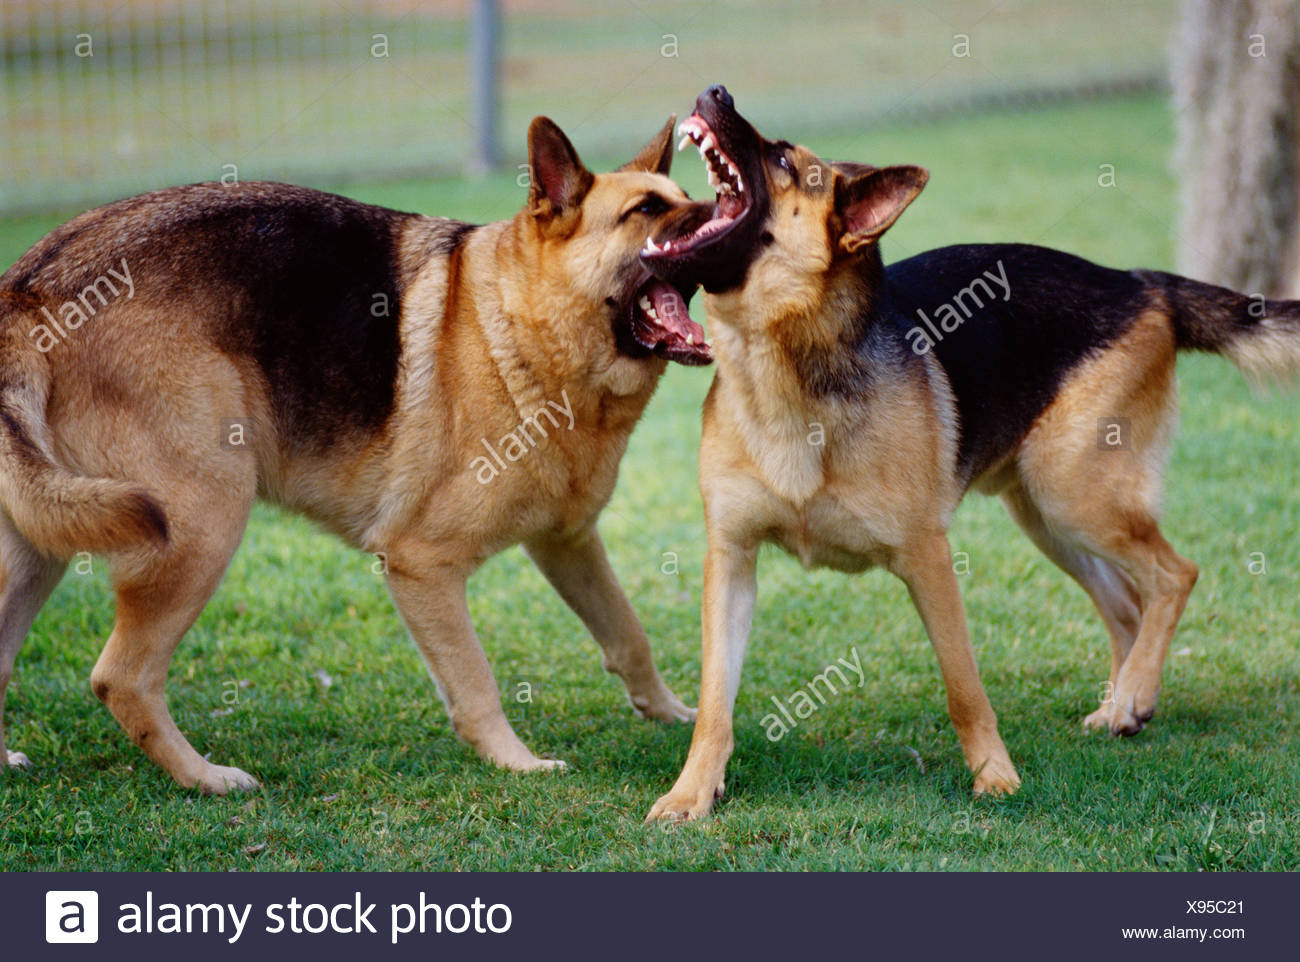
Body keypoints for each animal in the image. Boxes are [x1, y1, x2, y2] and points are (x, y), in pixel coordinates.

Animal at [0, 114, 722, 790]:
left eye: (685, 196)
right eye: (645, 212)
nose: (729, 208)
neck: (520, 328)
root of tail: (29, 289)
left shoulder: (567, 542)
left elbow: (628, 633)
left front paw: (670, 712)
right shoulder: (422, 566)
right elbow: (476, 683)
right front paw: (516, 763)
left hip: (43, 545)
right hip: (202, 525)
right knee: (122, 677)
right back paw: (206, 778)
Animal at [637, 86, 1300, 821]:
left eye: (784, 161)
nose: (715, 92)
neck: (780, 363)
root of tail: (1138, 282)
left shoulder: (928, 560)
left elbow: (965, 688)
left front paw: (995, 777)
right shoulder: (731, 562)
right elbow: (714, 704)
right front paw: (693, 791)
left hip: (1075, 499)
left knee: (1174, 575)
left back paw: (1134, 692)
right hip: (1047, 517)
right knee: (1129, 602)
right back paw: (1123, 705)